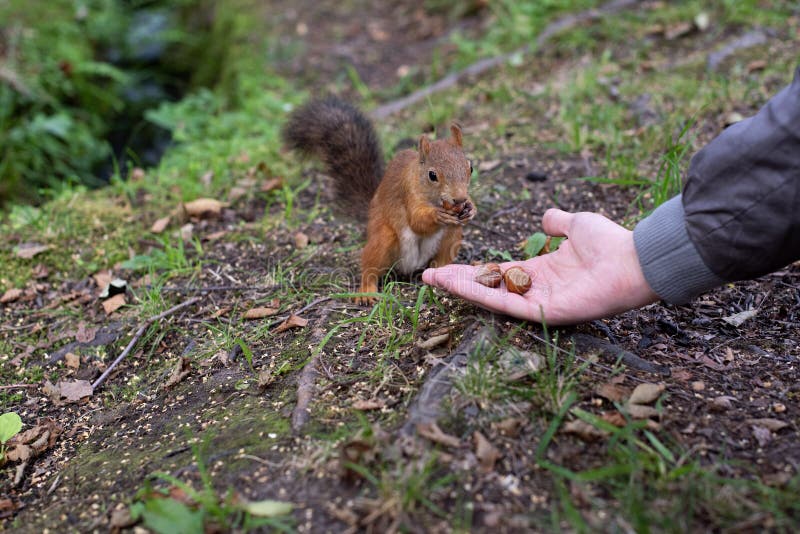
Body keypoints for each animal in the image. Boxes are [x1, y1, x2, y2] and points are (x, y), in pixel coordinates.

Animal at [282, 97, 476, 304]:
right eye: (432, 175)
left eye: (470, 167)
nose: (460, 198)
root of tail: (410, 267)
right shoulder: (407, 192)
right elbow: (417, 222)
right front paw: (438, 215)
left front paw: (471, 208)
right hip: (383, 239)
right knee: (370, 267)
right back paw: (367, 291)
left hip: (451, 236)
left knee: (443, 253)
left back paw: (442, 273)